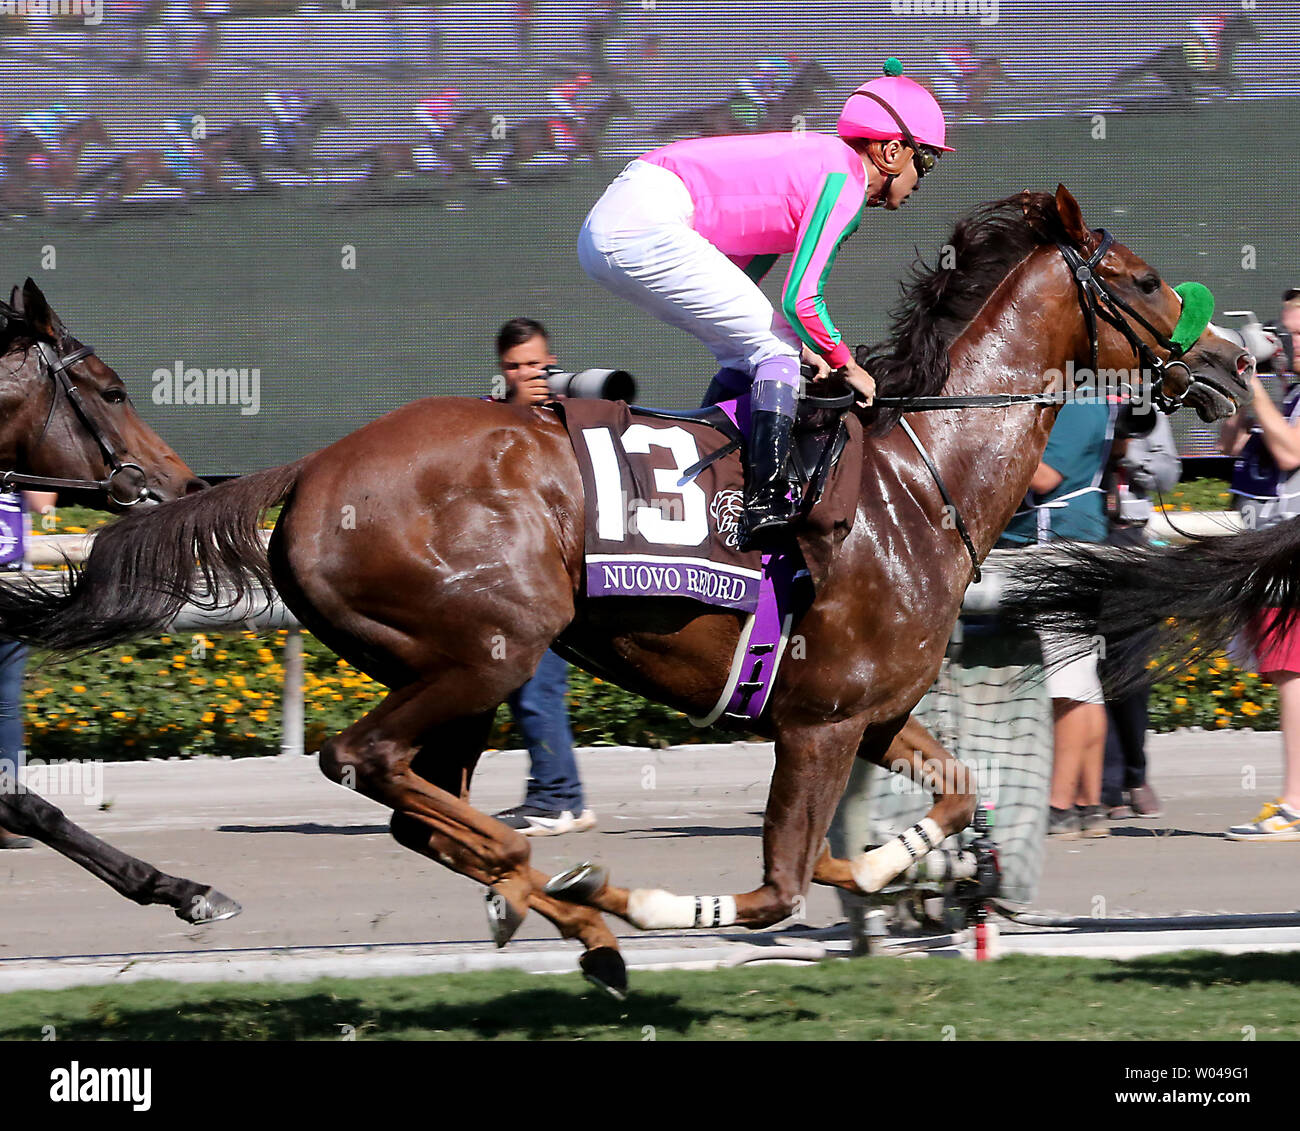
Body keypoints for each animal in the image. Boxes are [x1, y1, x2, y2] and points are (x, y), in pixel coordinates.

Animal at [501, 91, 634, 180]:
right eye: (623, 101)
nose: (633, 111)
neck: (591, 122)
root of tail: (515, 129)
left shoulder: (574, 153)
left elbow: (568, 168)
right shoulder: (591, 149)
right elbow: (600, 166)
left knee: (507, 159)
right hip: (527, 151)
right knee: (507, 159)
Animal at [1108, 12, 1260, 100]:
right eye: (1250, 27)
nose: (1259, 36)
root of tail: (1154, 58)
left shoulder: (1222, 70)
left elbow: (1232, 79)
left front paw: (1235, 90)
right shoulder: (1213, 73)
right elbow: (1227, 81)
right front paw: (1234, 90)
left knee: (1185, 88)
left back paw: (1197, 94)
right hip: (1171, 72)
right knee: (1177, 89)